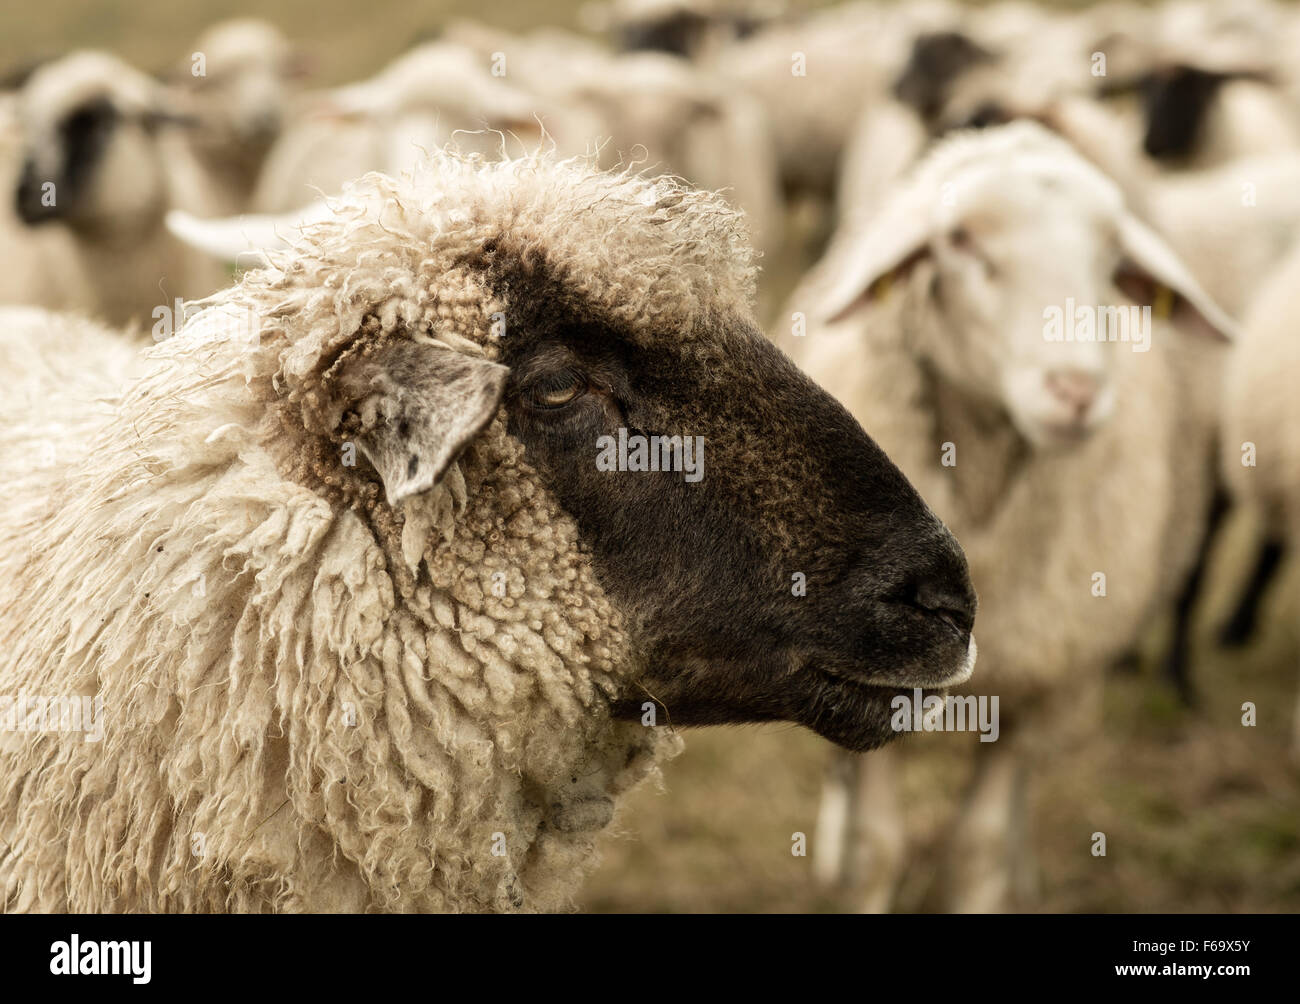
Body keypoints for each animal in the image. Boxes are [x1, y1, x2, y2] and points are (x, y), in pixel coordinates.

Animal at [786, 123, 1235, 912]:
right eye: (960, 240)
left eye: (1112, 259)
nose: (1076, 391)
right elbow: (877, 848)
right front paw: (853, 867)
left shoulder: (1041, 684)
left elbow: (978, 848)